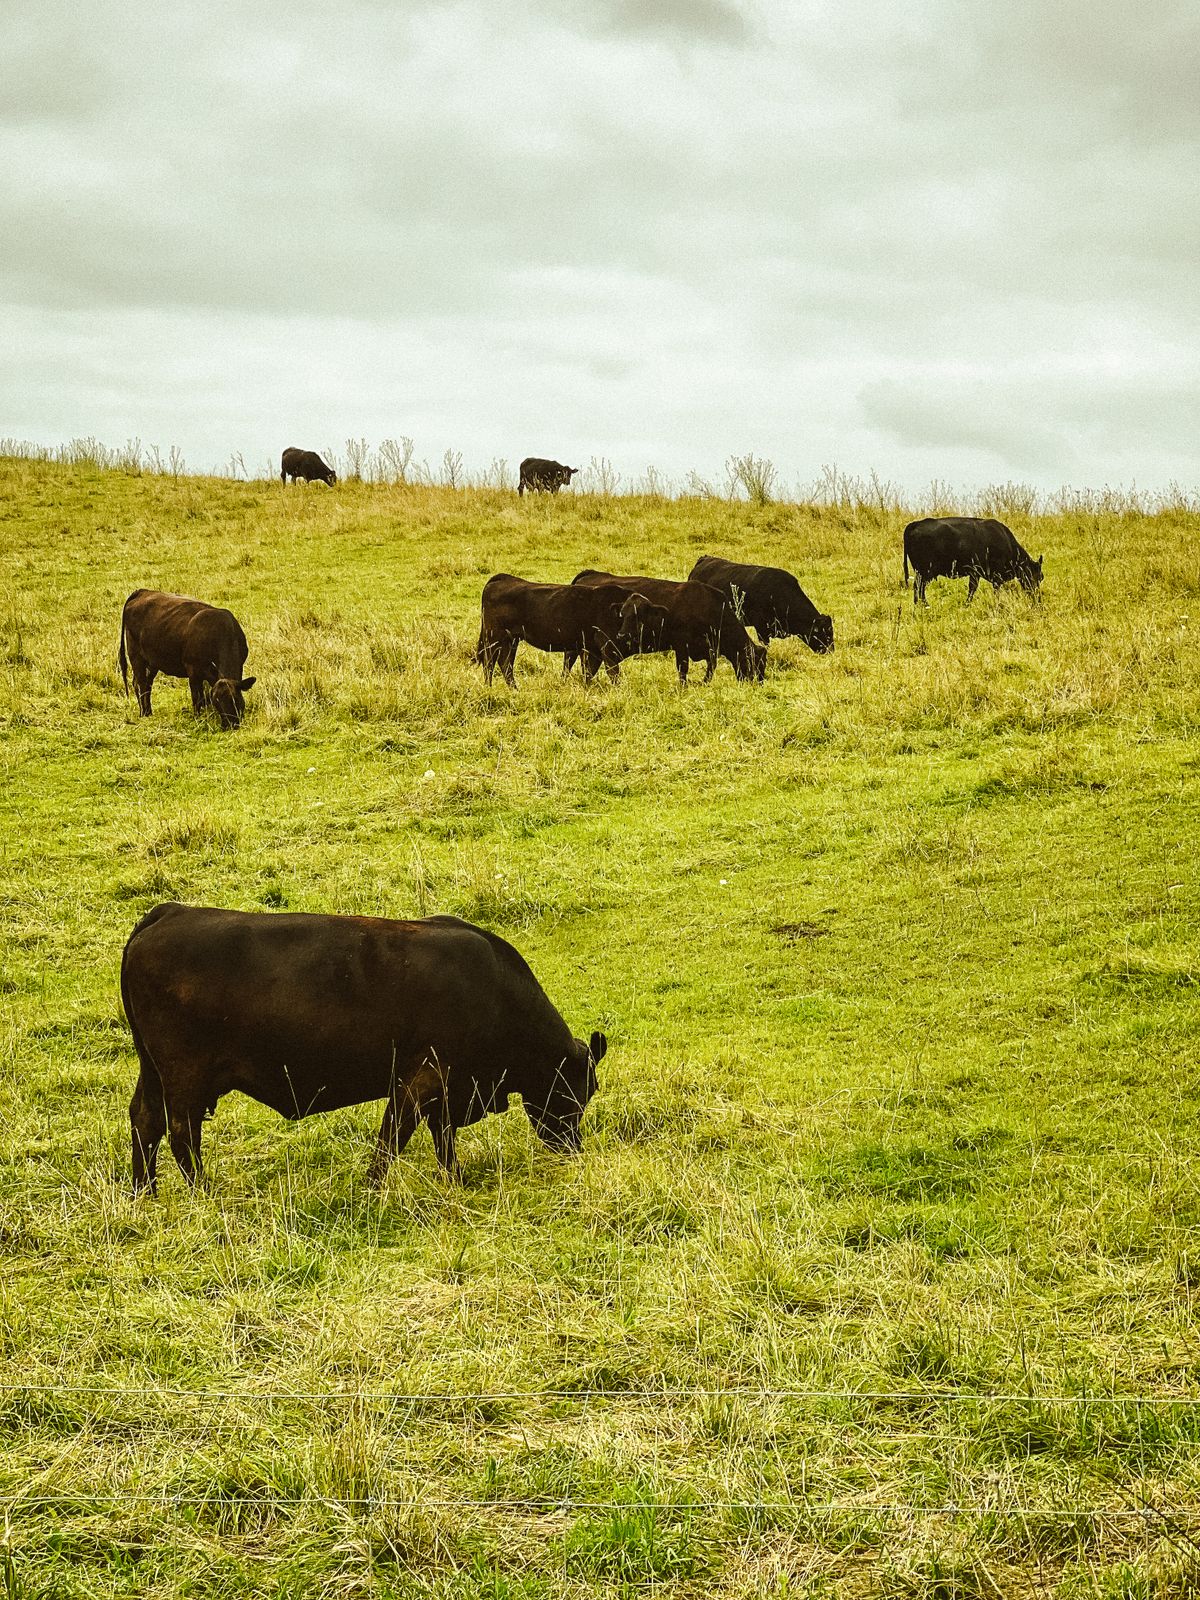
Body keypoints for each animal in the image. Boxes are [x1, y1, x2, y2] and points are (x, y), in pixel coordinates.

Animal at [118, 590, 255, 729]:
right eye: (217, 702)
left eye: (235, 698)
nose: (229, 725)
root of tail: (143, 591)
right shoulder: (193, 670)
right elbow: (197, 698)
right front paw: (198, 719)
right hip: (136, 655)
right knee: (139, 684)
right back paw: (143, 713)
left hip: (152, 662)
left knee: (147, 684)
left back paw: (149, 712)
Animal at [122, 904, 607, 1193]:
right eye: (576, 1090)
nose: (573, 1147)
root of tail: (172, 911)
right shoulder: (422, 1080)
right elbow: (392, 1140)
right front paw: (372, 1190)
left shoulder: (444, 1093)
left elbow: (441, 1141)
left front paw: (455, 1182)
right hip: (185, 1077)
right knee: (182, 1135)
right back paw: (205, 1193)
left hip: (154, 1071)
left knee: (145, 1121)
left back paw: (145, 1193)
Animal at [476, 574, 664, 686]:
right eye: (628, 615)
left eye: (643, 614)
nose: (624, 633)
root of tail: (502, 578)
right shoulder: (607, 648)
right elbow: (613, 674)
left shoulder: (593, 650)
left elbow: (589, 673)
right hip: (493, 637)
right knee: (489, 662)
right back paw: (489, 687)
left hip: (511, 639)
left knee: (505, 663)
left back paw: (514, 689)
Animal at [571, 571, 766, 684]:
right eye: (757, 663)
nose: (759, 683)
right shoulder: (681, 645)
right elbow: (683, 670)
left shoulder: (708, 648)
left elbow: (711, 667)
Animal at [903, 517, 1043, 606]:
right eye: (1034, 575)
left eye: (1040, 578)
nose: (1037, 598)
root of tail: (915, 524)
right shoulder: (985, 573)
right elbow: (979, 589)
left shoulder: (976, 573)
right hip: (925, 571)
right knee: (919, 586)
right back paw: (924, 604)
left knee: (919, 587)